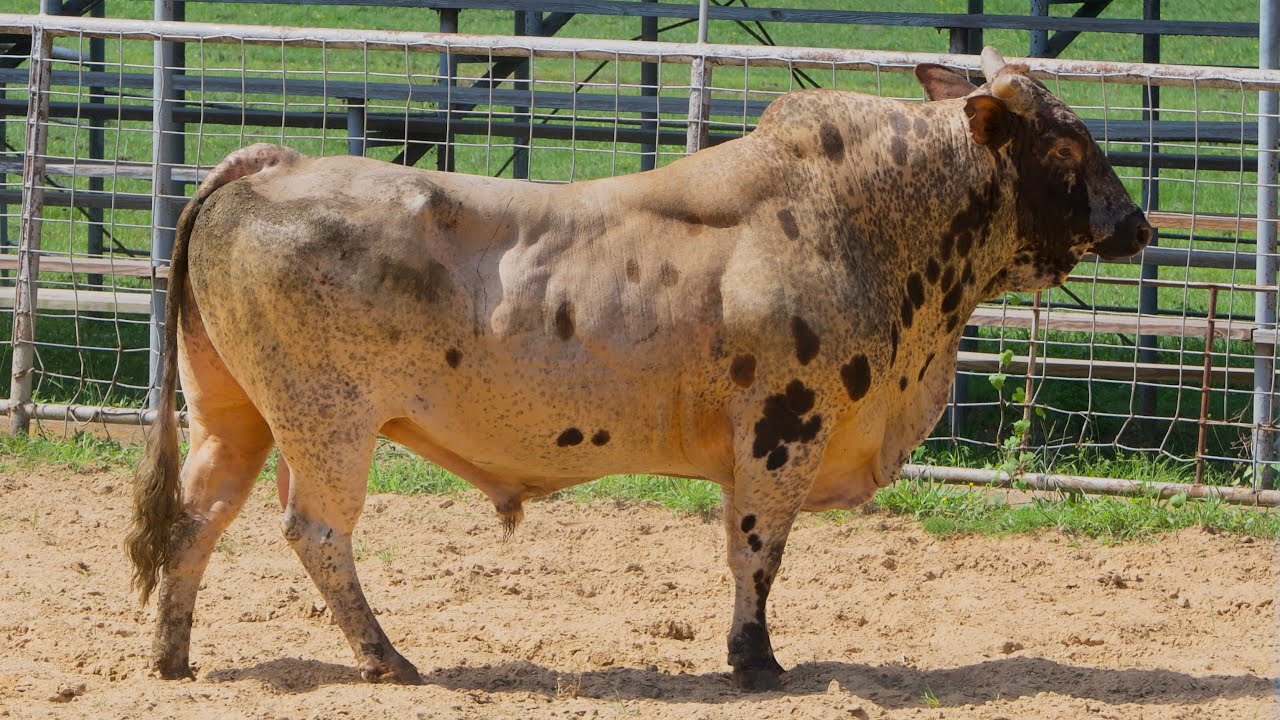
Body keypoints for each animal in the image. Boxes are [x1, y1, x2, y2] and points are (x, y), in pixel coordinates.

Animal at [126, 47, 1150, 691]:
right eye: (1065, 143)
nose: (1138, 224)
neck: (863, 217)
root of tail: (272, 163)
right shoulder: (782, 431)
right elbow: (756, 553)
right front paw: (755, 663)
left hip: (232, 412)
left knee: (197, 517)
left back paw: (174, 657)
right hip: (327, 423)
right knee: (316, 533)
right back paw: (385, 658)